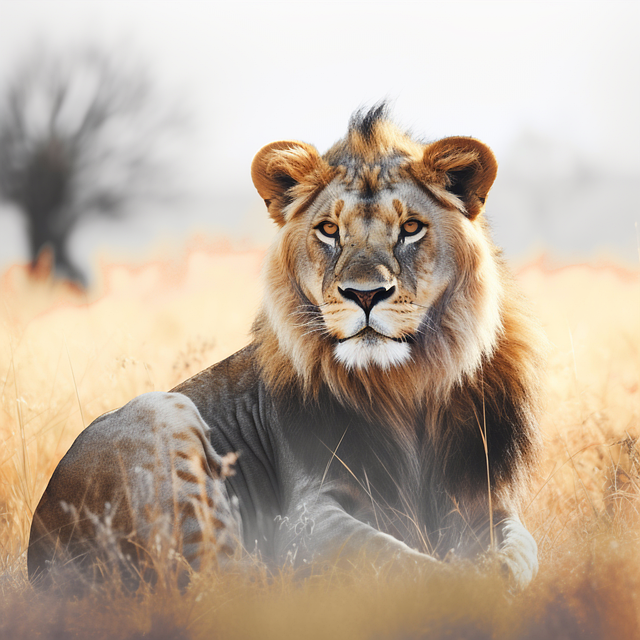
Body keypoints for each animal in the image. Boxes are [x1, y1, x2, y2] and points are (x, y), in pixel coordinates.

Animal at [28, 104, 545, 590]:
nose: (365, 295)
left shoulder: (485, 502)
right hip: (161, 413)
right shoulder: (304, 519)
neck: (405, 388)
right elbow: (403, 562)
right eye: (329, 230)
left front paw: (496, 573)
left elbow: (522, 552)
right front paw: (470, 584)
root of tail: (38, 553)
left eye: (412, 228)